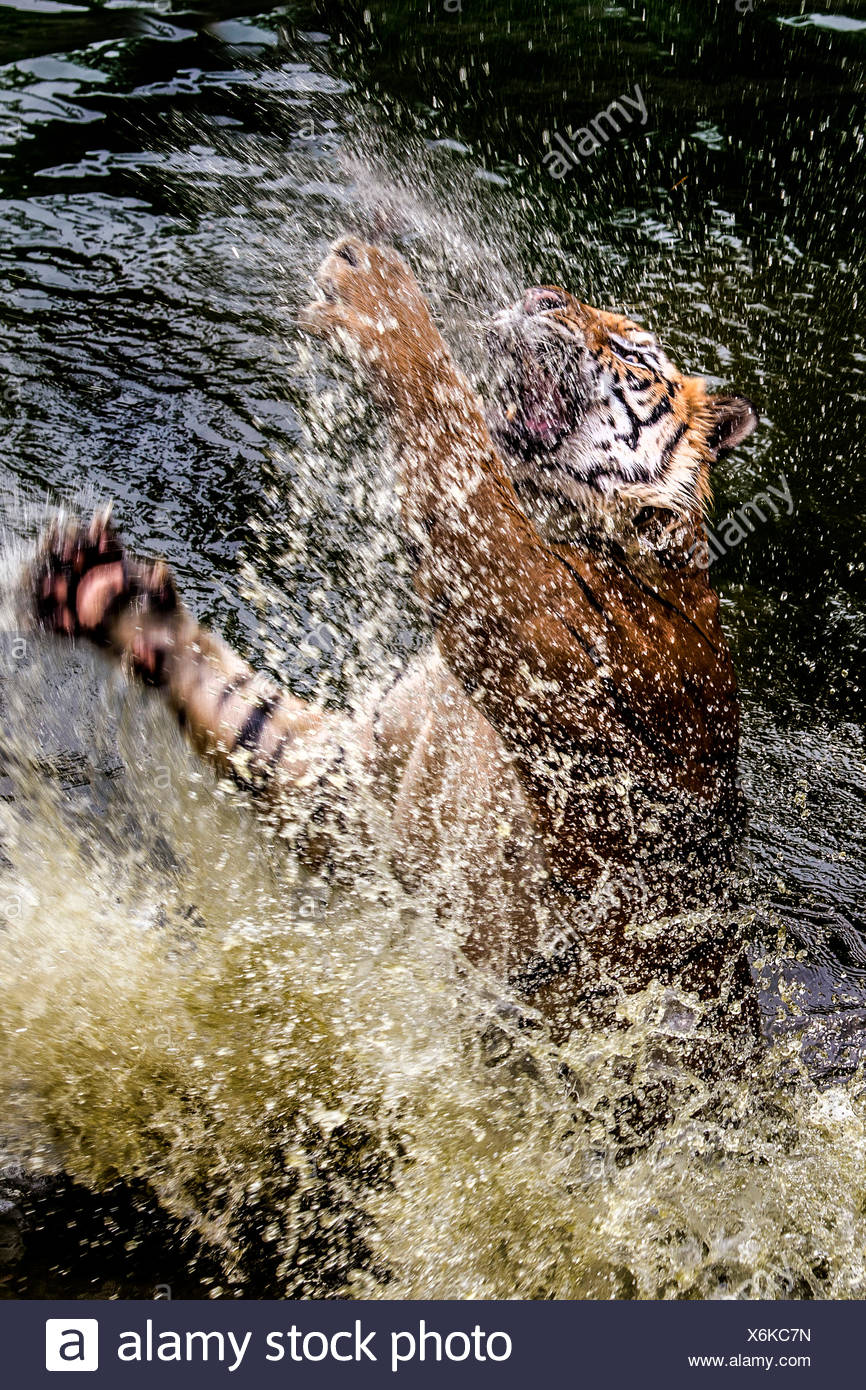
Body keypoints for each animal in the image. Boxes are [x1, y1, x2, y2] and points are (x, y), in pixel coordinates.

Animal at [29, 235, 758, 1044]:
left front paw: (379, 295)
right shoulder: (357, 781)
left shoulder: (541, 637)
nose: (539, 296)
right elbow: (252, 718)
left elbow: (456, 448)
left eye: (630, 345)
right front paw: (102, 590)